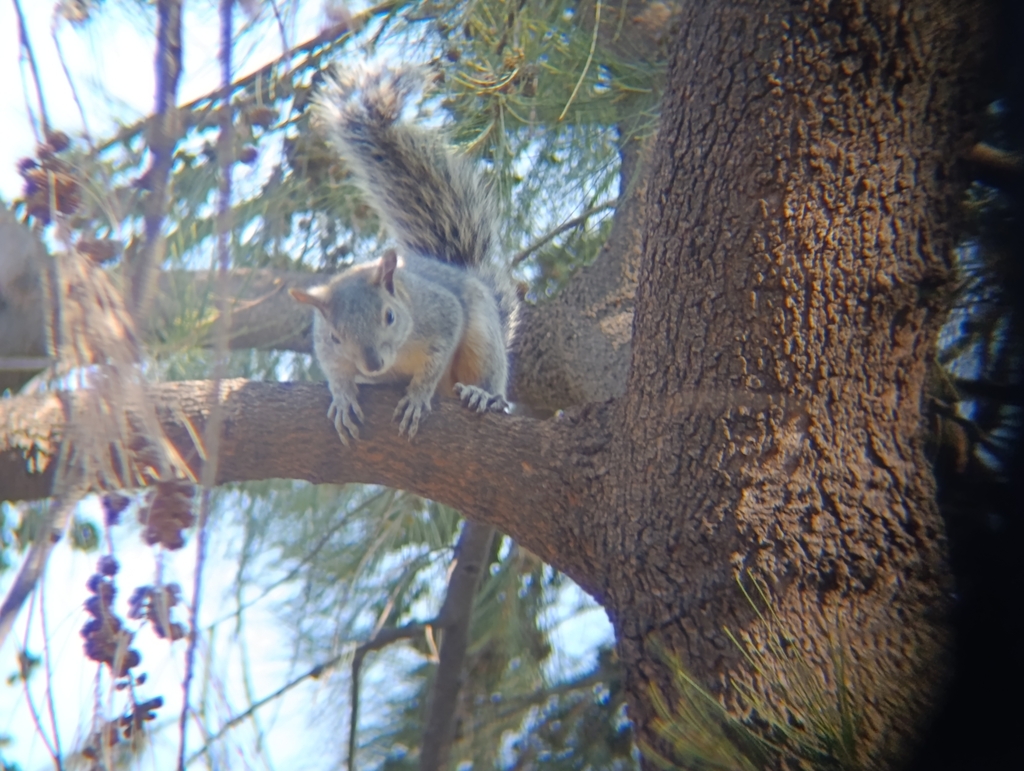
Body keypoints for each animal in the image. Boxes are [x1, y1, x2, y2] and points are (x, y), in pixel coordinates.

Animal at [290, 67, 518, 444]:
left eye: (390, 316)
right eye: (336, 336)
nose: (372, 365)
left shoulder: (440, 314)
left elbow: (435, 360)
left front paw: (417, 396)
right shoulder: (326, 346)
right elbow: (335, 370)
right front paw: (343, 396)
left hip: (484, 338)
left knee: (487, 375)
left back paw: (482, 394)